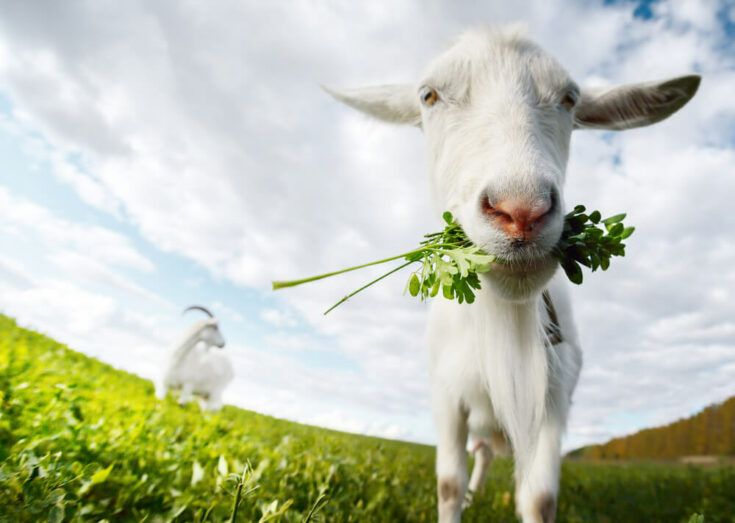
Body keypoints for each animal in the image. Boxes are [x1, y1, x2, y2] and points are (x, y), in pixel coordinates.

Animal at [326, 26, 699, 522]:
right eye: (428, 95)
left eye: (569, 98)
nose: (521, 211)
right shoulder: (446, 396)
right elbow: (447, 484)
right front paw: (460, 497)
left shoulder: (554, 398)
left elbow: (539, 498)